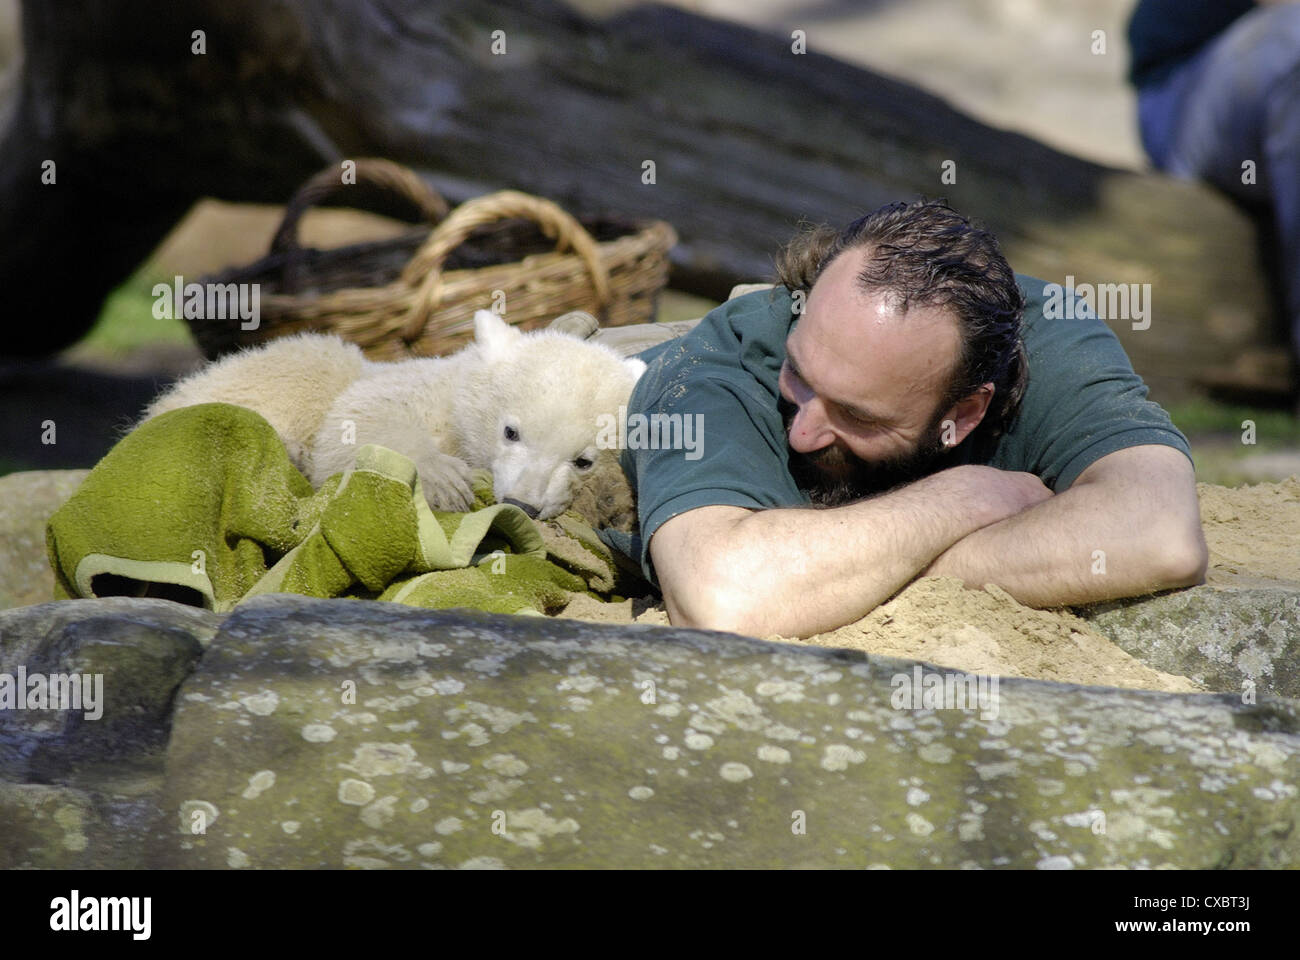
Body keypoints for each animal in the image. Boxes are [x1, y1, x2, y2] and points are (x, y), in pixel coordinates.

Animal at [138, 310, 647, 521]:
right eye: (511, 431)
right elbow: (356, 419)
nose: (523, 505)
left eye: (583, 460)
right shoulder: (417, 386)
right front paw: (444, 479)